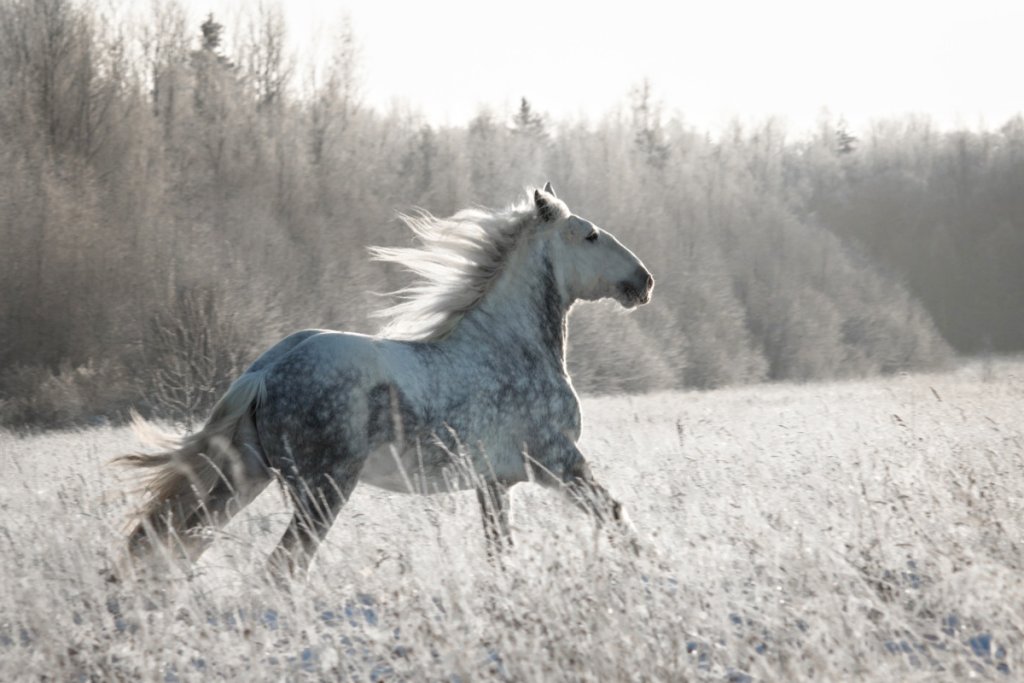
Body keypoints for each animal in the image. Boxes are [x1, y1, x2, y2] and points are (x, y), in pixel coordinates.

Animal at [116, 184, 655, 579]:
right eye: (588, 235)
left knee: (177, 543)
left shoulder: (494, 483)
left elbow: (500, 554)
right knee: (281, 568)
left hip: (244, 477)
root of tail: (265, 372)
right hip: (322, 490)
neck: (510, 348)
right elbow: (617, 517)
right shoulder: (558, 460)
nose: (644, 281)